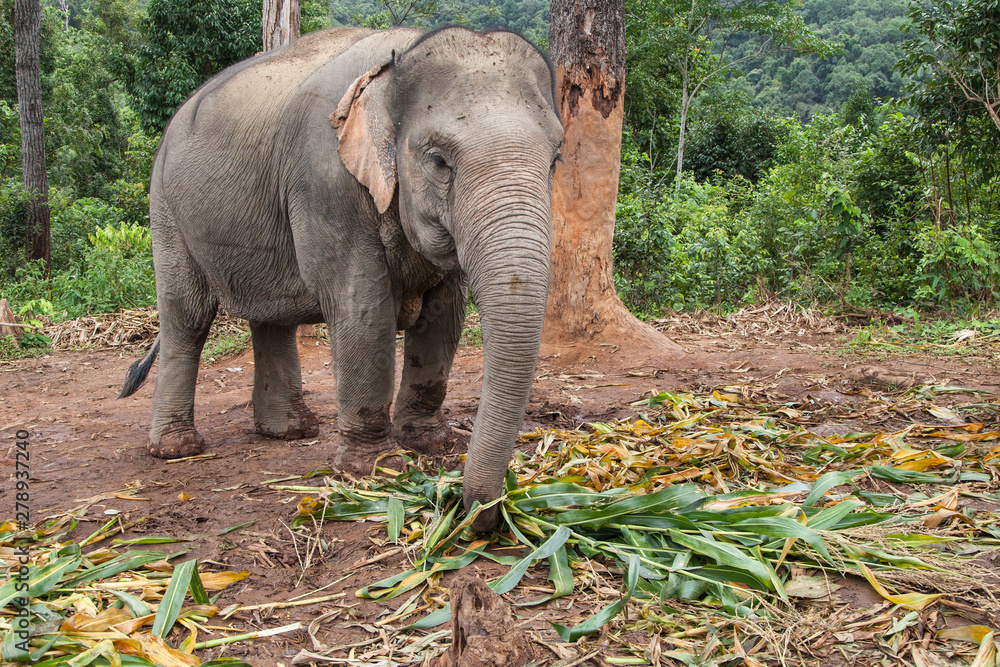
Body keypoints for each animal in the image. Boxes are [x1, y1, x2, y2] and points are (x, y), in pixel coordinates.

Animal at [118, 26, 564, 530]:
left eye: (555, 159)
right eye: (438, 160)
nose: (480, 511)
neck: (399, 61)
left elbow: (444, 315)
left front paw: (429, 443)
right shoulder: (326, 183)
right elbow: (361, 307)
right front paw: (377, 469)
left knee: (270, 318)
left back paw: (290, 432)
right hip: (165, 209)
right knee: (187, 317)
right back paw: (177, 449)